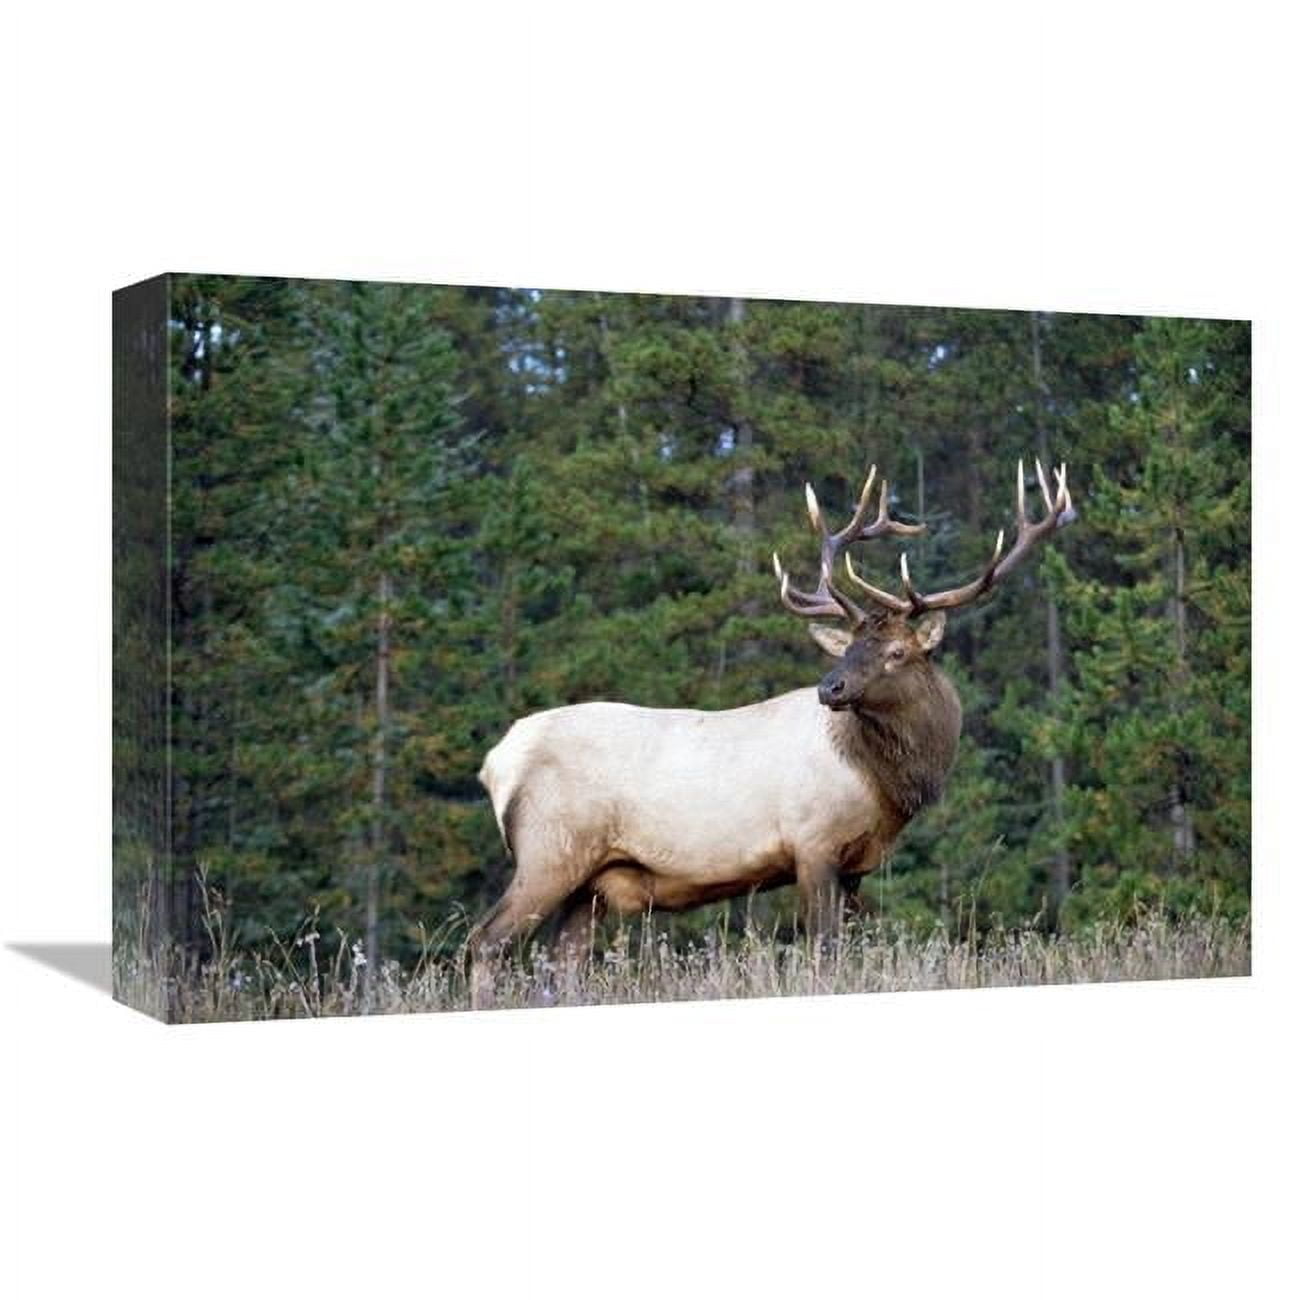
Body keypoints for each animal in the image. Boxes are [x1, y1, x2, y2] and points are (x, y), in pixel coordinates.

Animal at [469, 457, 1074, 981]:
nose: (831, 688)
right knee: (485, 941)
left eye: (896, 652)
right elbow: (823, 952)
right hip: (549, 850)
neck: (883, 782)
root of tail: (497, 763)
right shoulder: (813, 844)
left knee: (562, 962)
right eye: (850, 646)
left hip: (590, 882)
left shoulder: (855, 866)